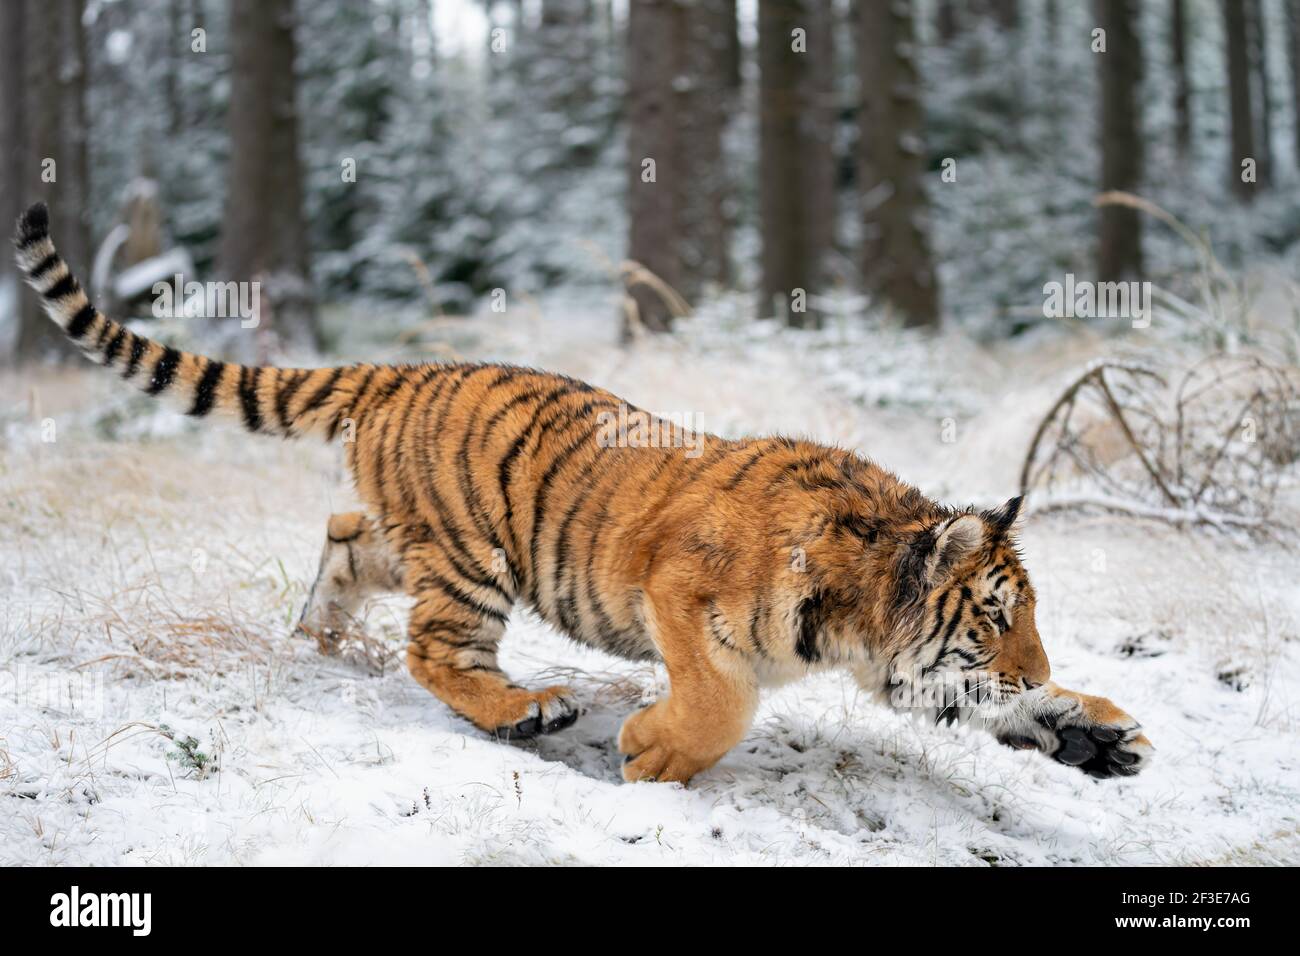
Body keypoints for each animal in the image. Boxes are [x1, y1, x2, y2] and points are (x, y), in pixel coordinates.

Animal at [14, 202, 1152, 784]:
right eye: (995, 617)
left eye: (1028, 620)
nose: (1036, 661)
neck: (863, 598)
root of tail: (403, 371)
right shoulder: (681, 593)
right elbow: (720, 702)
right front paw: (651, 751)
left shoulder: (898, 667)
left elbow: (989, 702)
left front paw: (1092, 728)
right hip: (471, 559)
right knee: (437, 652)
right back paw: (528, 710)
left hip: (415, 538)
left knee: (343, 535)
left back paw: (317, 638)